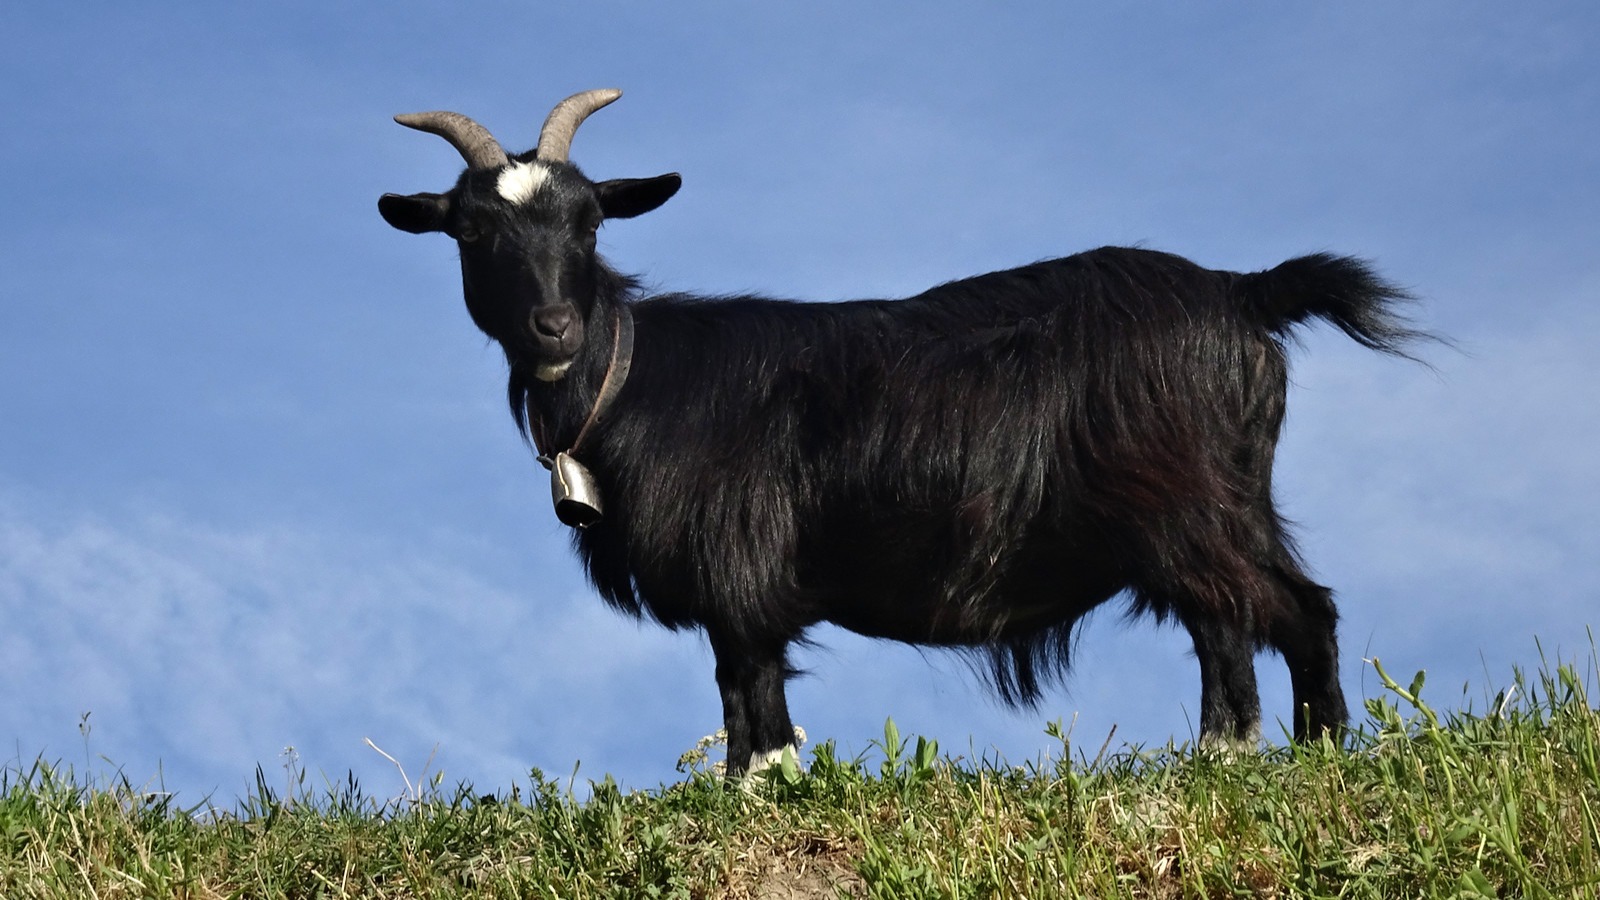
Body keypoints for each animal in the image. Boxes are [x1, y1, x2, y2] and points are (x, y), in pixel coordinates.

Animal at [379, 89, 1423, 775]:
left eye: (591, 222)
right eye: (471, 232)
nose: (553, 327)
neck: (635, 383)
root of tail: (1244, 293)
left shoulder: (742, 578)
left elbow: (755, 709)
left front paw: (759, 803)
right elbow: (742, 709)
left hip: (1192, 508)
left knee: (1290, 614)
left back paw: (1302, 764)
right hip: (1214, 508)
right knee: (1234, 629)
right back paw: (1235, 762)